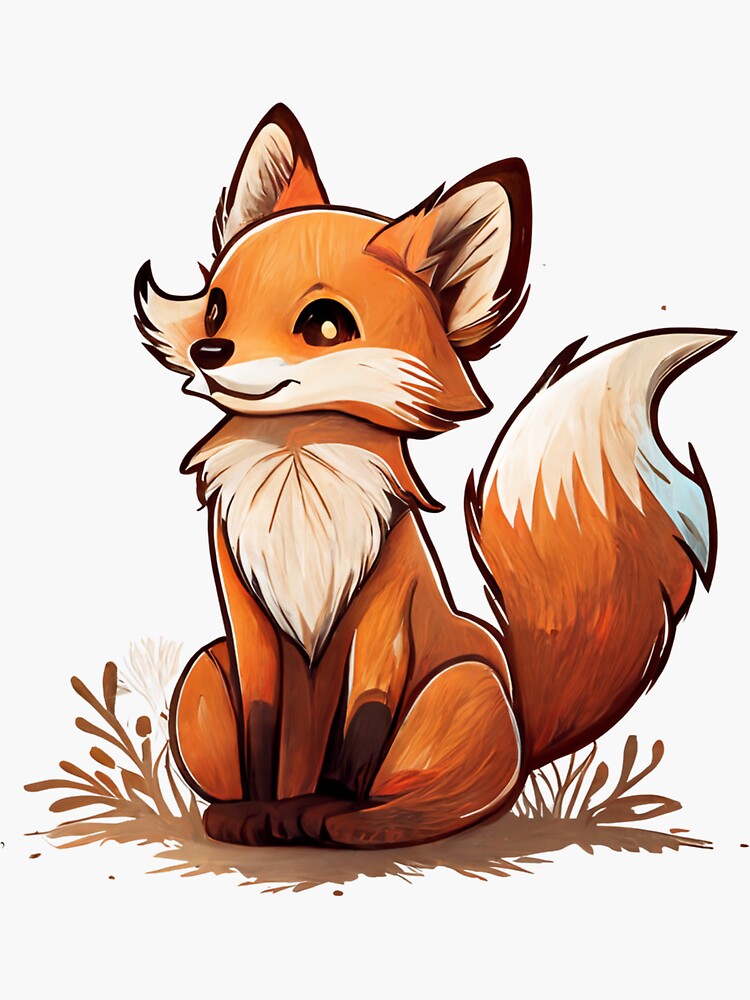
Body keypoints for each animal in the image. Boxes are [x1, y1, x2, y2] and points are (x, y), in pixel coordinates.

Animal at [134, 104, 730, 849]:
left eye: (324, 324)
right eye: (216, 306)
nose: (209, 351)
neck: (299, 473)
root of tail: (522, 728)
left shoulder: (385, 616)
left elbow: (360, 727)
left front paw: (322, 808)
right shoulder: (247, 622)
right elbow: (266, 728)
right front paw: (261, 811)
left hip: (459, 688)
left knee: (446, 806)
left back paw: (359, 821)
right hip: (202, 678)